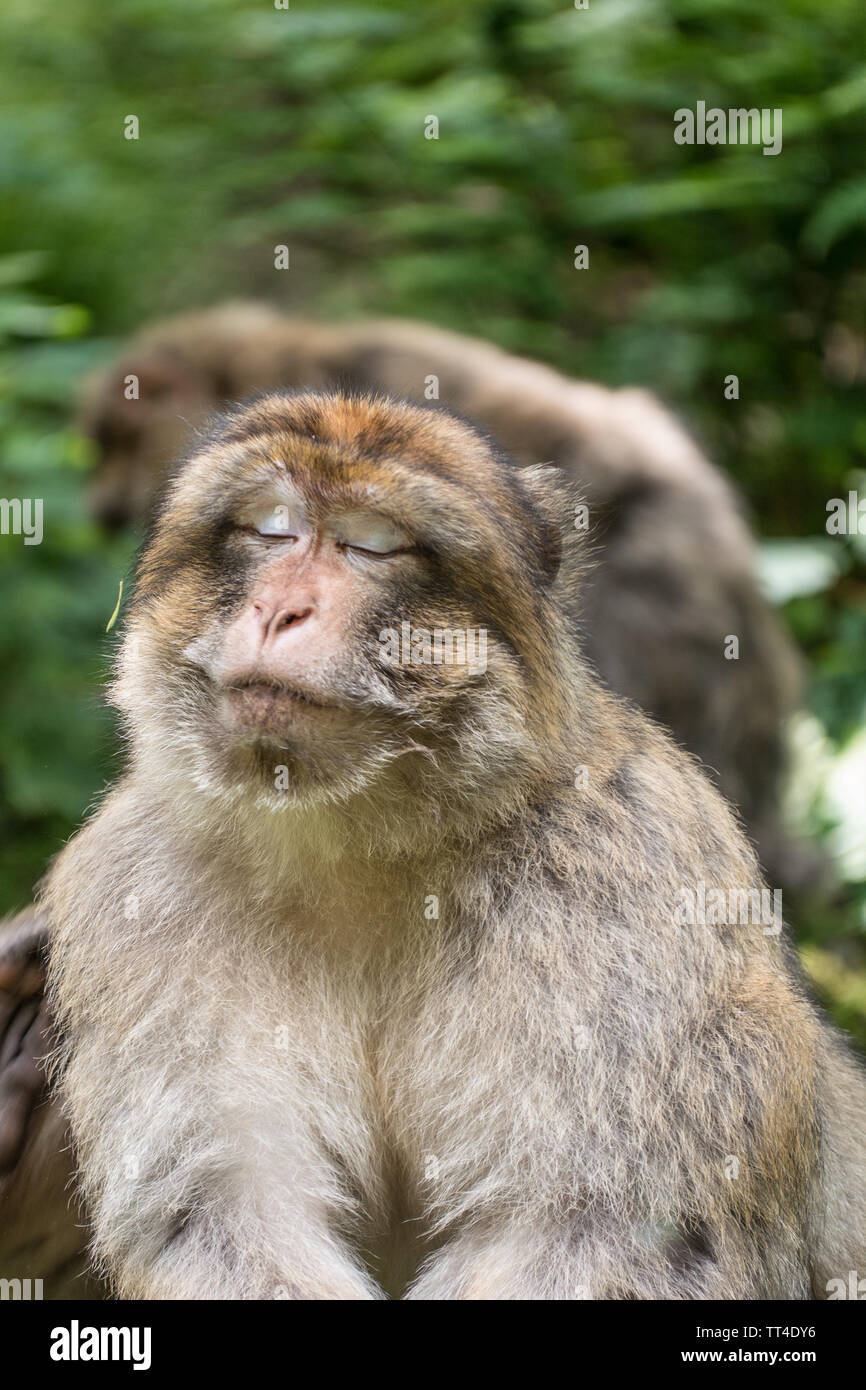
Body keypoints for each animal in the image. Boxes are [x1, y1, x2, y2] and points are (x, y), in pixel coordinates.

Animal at [40, 389, 866, 1299]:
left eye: (371, 544)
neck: (356, 843)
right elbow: (220, 1213)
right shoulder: (139, 889)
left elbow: (612, 1225)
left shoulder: (635, 878)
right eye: (271, 528)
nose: (279, 608)